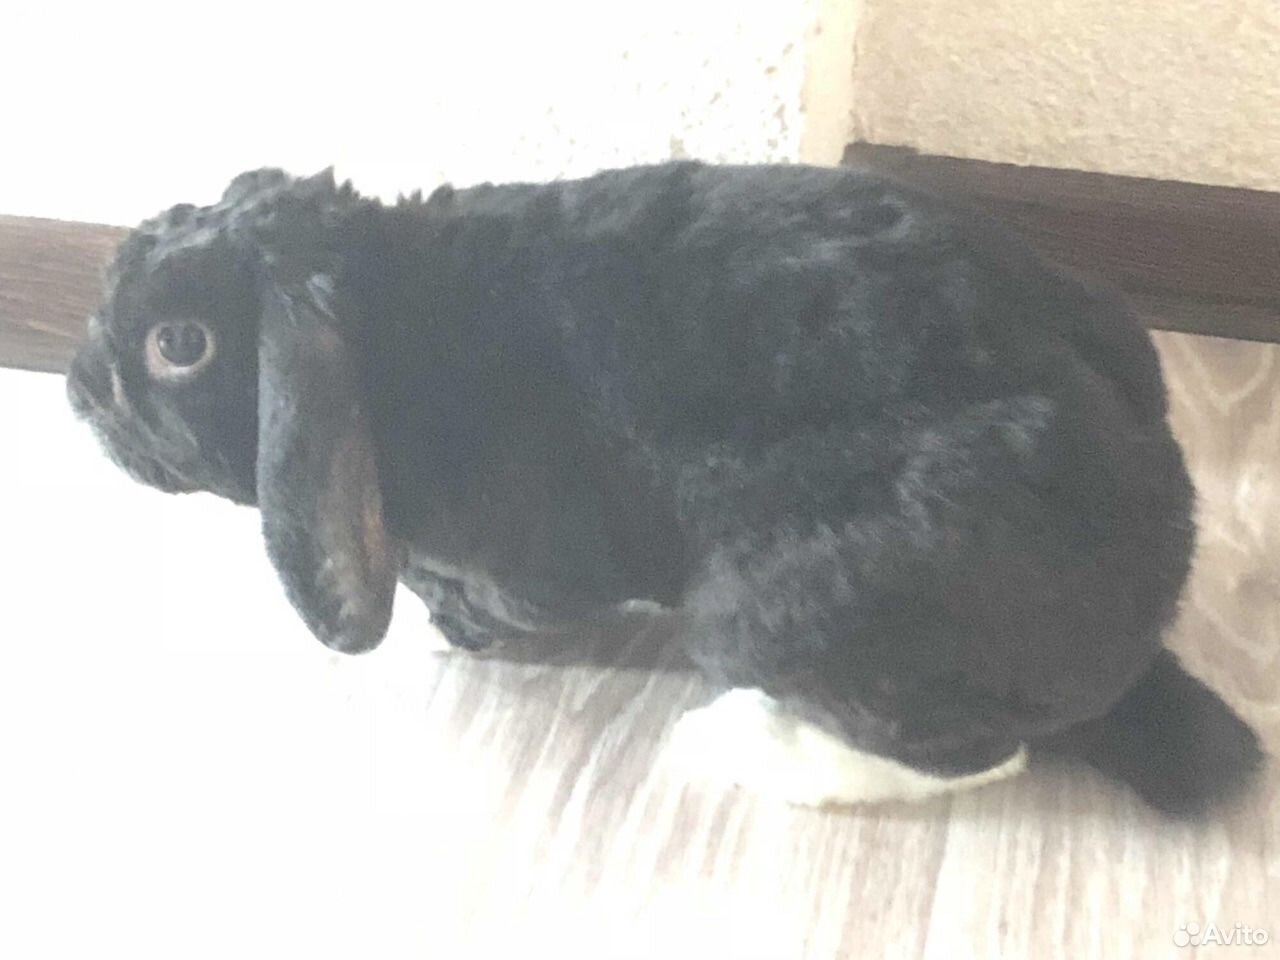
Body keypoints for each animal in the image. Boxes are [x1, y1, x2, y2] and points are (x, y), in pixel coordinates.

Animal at [66, 161, 1262, 816]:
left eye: (181, 345)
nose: (77, 389)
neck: (388, 321)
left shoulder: (539, 562)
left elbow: (507, 599)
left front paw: (452, 625)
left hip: (771, 604)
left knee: (970, 756)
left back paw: (737, 747)